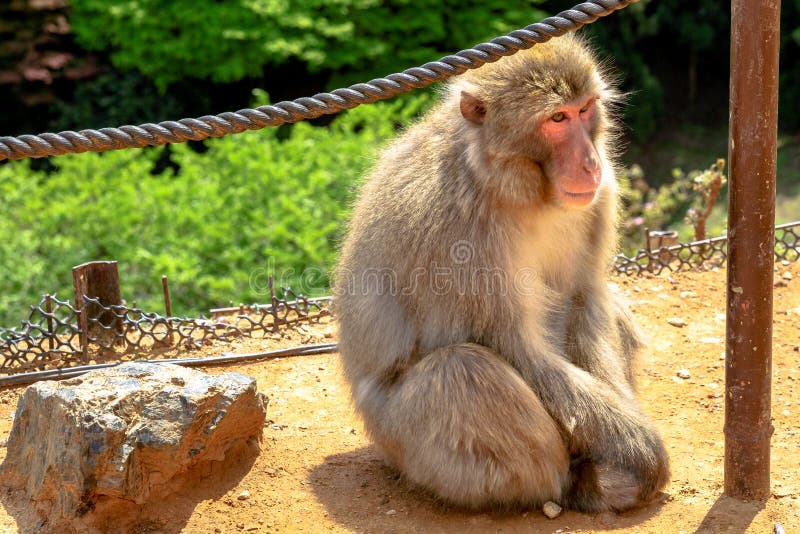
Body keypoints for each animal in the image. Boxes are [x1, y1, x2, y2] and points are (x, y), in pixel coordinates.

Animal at [333, 32, 669, 513]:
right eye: (556, 119)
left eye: (584, 109)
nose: (591, 163)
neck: (516, 189)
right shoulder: (458, 234)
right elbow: (515, 346)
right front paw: (641, 449)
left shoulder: (599, 198)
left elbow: (583, 298)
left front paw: (629, 438)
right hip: (399, 444)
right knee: (461, 372)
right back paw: (569, 485)